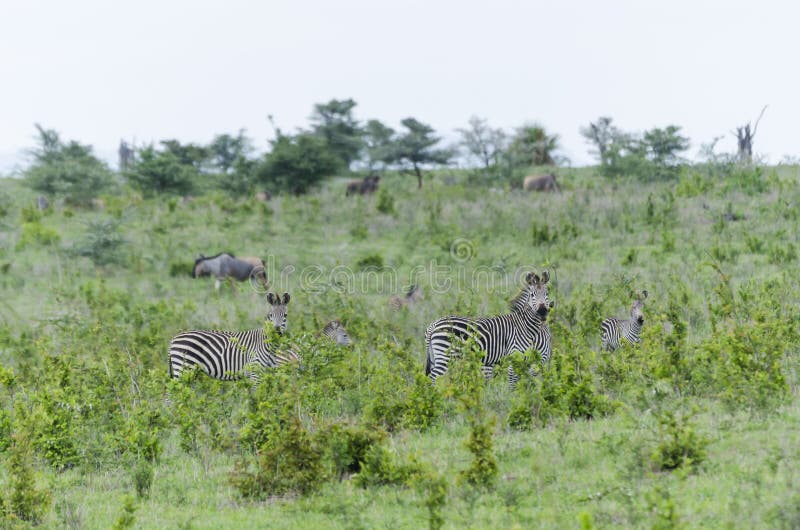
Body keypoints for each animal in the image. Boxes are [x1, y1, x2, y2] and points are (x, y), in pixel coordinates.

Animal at [424, 271, 554, 388]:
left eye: (546, 293)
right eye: (532, 295)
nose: (543, 311)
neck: (525, 325)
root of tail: (434, 325)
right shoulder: (515, 355)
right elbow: (513, 382)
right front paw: (511, 397)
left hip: (436, 356)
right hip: (445, 355)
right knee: (434, 377)